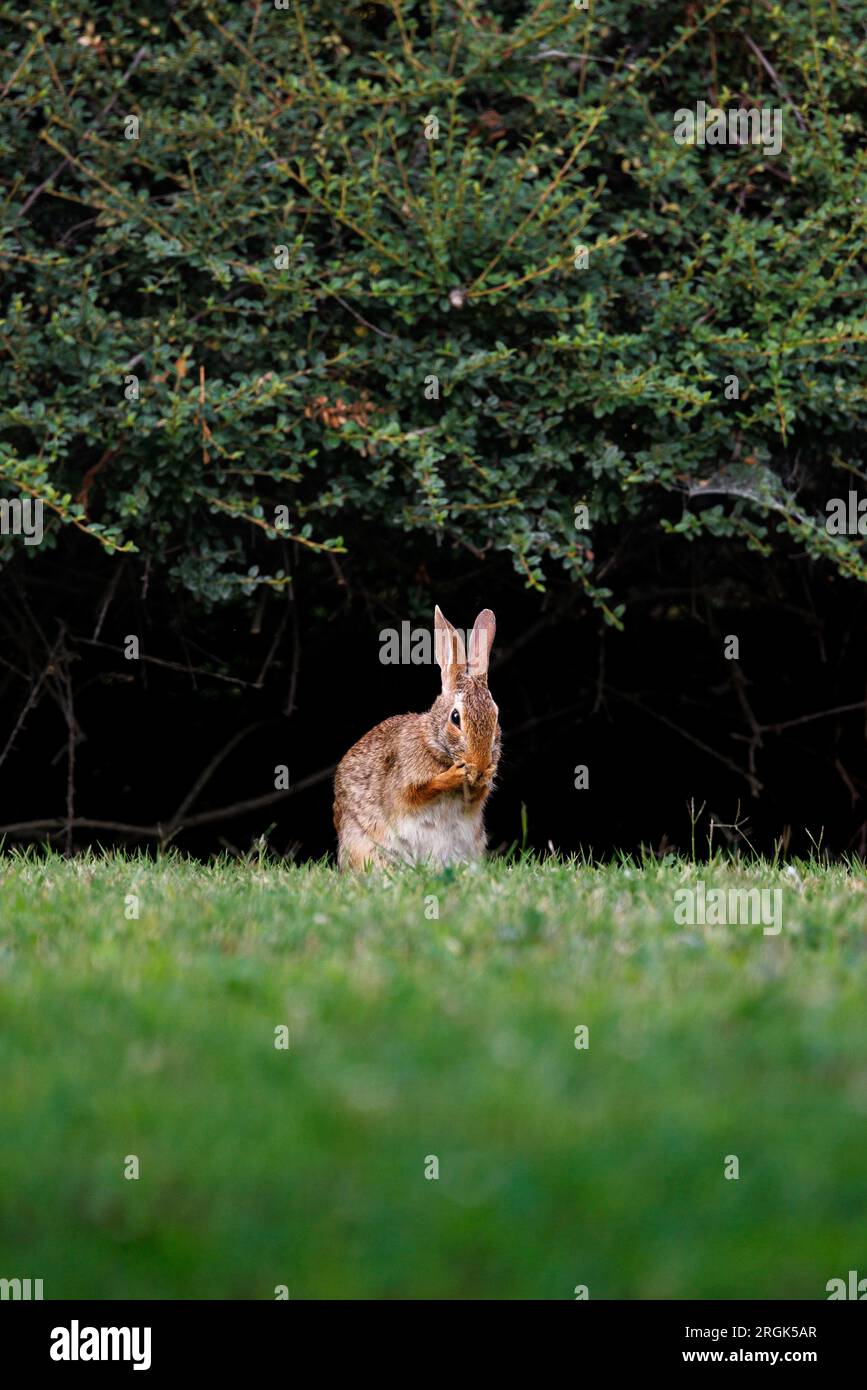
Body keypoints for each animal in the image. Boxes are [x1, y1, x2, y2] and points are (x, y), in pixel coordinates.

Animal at [334, 607, 500, 869]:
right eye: (455, 718)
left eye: (496, 715)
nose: (481, 765)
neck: (435, 744)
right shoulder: (403, 783)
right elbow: (415, 794)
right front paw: (454, 775)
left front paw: (483, 776)